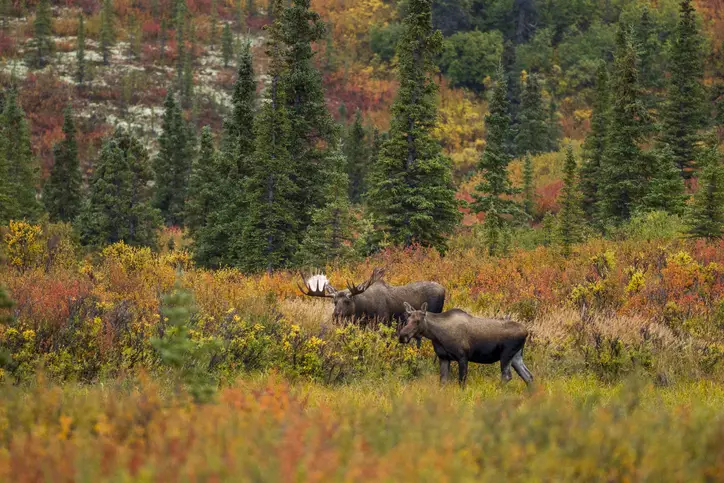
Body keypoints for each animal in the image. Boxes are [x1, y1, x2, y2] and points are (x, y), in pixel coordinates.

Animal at [296, 268, 444, 348]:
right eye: (334, 301)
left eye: (347, 301)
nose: (335, 316)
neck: (364, 311)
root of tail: (444, 290)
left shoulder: (382, 323)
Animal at [396, 304, 532, 388]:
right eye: (407, 320)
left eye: (418, 321)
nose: (402, 336)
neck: (437, 335)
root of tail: (526, 332)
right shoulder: (444, 358)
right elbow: (443, 382)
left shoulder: (462, 357)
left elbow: (461, 381)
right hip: (516, 357)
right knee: (528, 376)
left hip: (506, 355)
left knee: (507, 376)